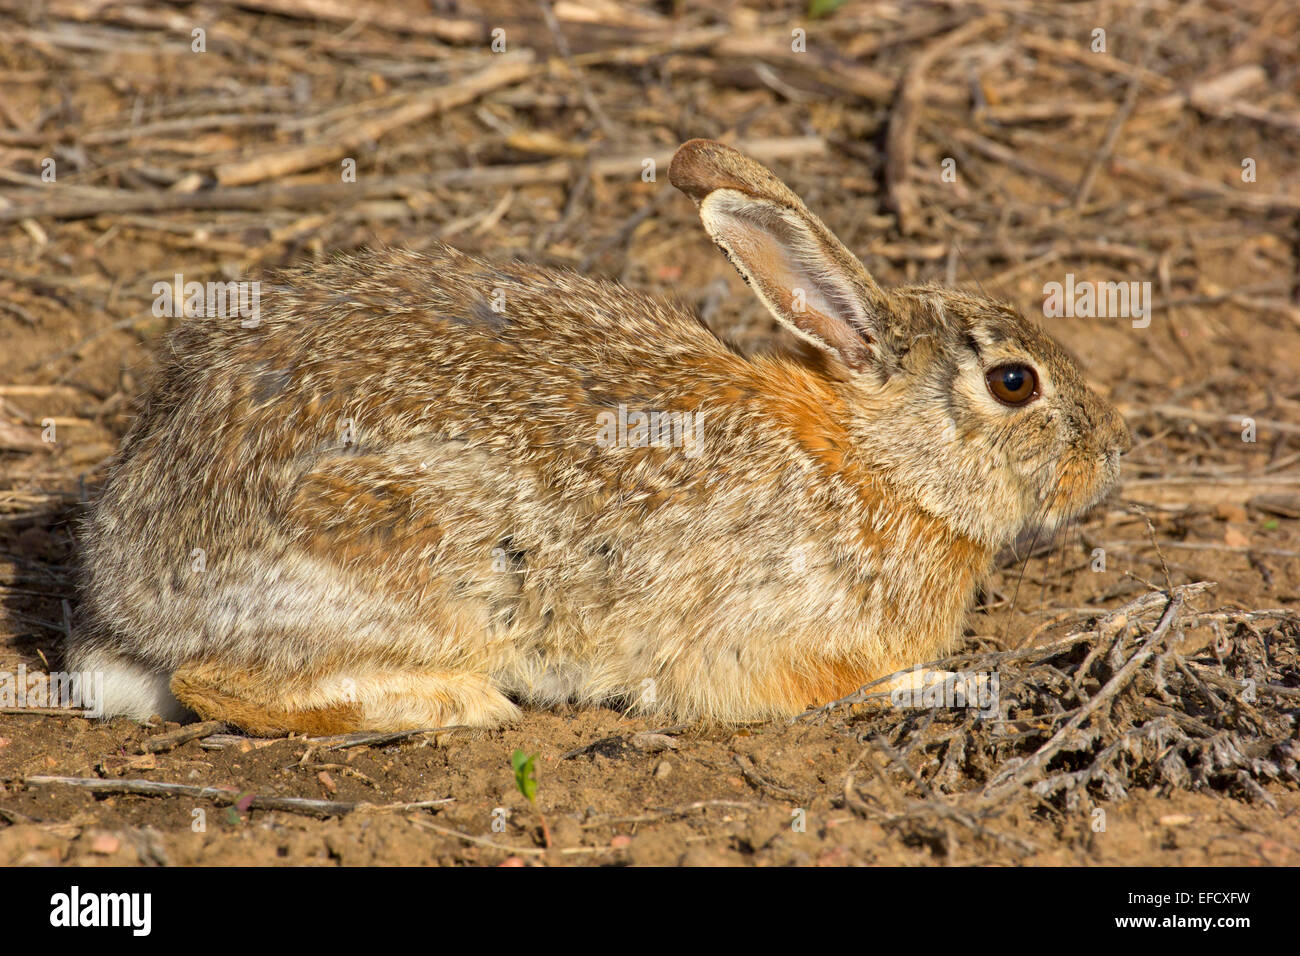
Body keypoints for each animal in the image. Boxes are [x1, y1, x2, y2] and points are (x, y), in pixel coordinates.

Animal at [67, 139, 1130, 736]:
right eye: (1014, 384)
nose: (1109, 458)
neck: (877, 461)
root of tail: (131, 590)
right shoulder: (756, 650)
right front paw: (942, 684)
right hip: (413, 549)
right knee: (216, 682)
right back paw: (456, 705)